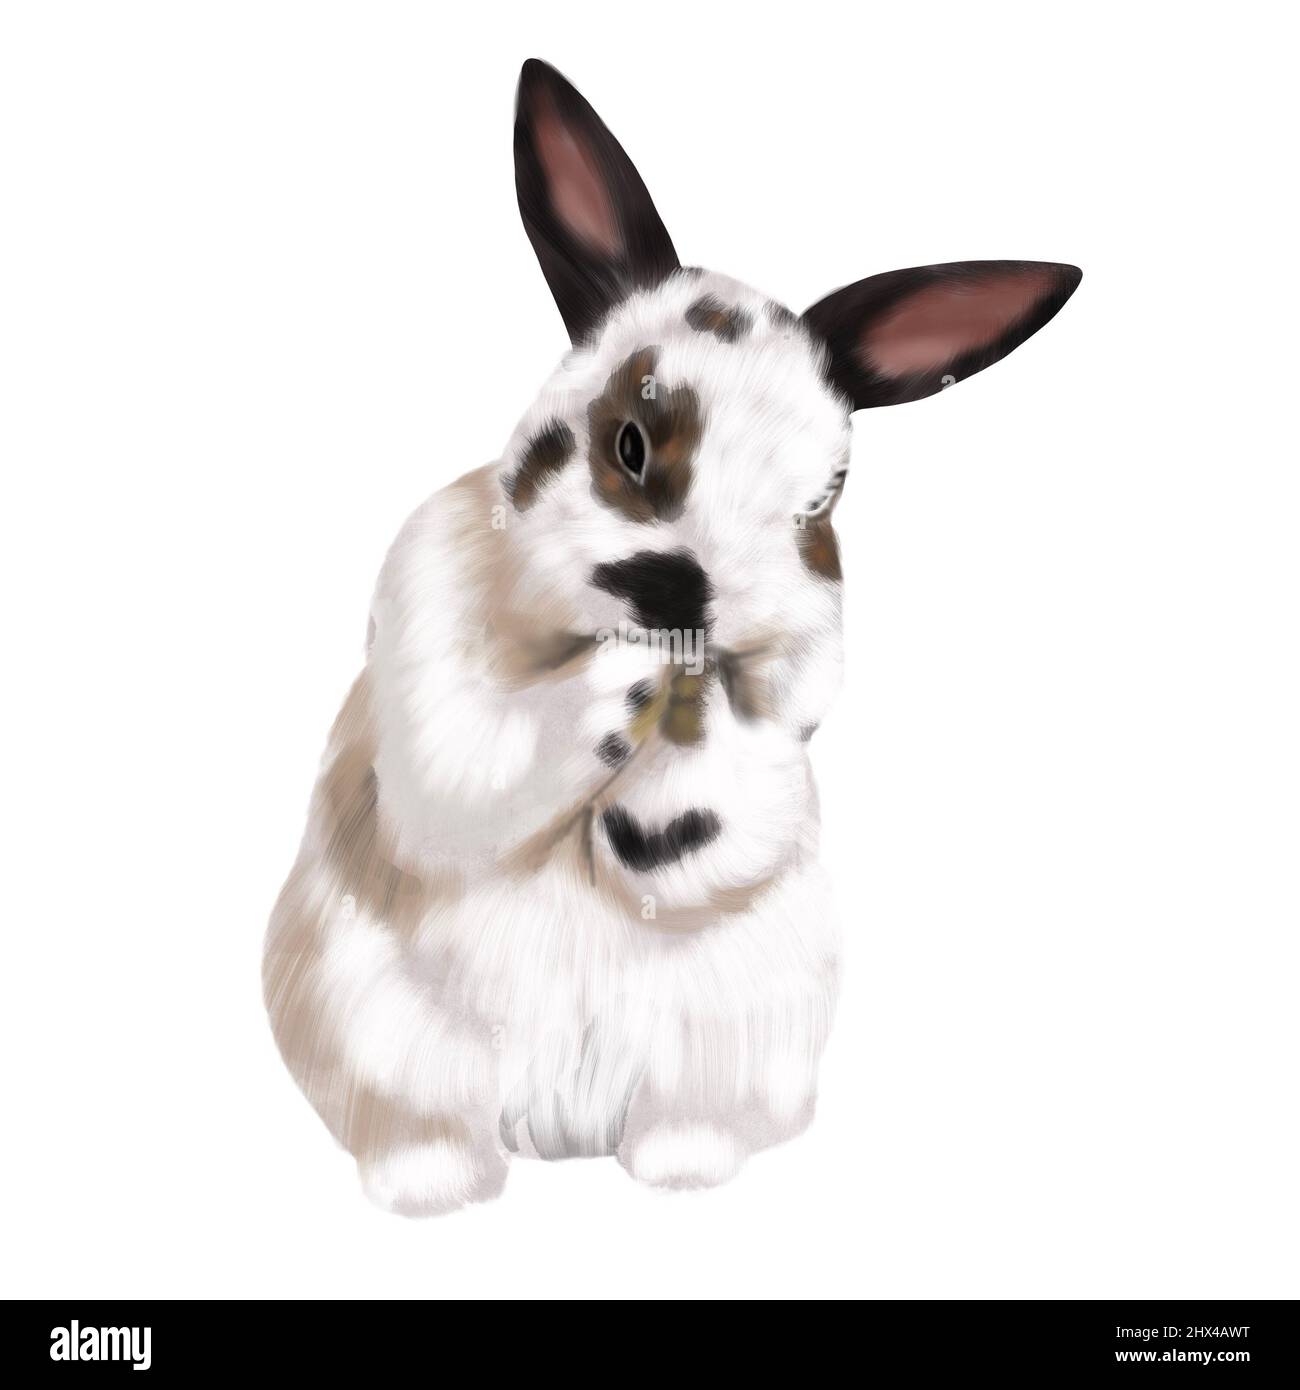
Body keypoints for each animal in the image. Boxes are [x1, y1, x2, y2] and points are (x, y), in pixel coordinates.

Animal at [263, 57, 1081, 1216]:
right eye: (630, 442)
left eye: (821, 499)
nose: (680, 593)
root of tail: (559, 1133)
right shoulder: (426, 624)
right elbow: (460, 767)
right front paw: (617, 688)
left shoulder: (790, 714)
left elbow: (731, 814)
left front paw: (665, 776)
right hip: (374, 1033)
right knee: (422, 1124)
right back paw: (436, 1187)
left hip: (745, 1042)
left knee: (689, 1118)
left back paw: (681, 1167)